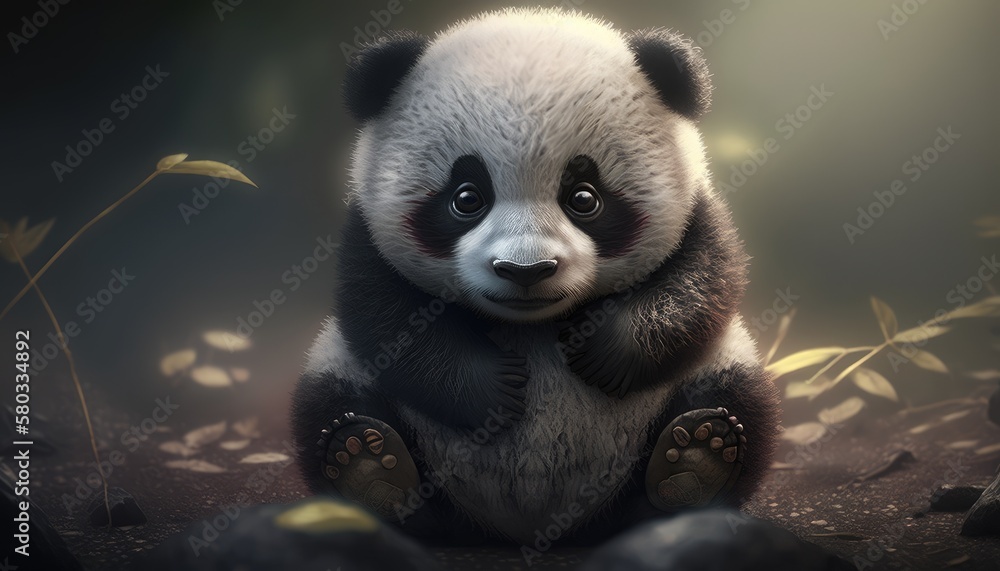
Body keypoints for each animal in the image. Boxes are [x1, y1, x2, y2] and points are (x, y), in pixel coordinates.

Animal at [291, 8, 780, 545]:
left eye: (584, 197)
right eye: (466, 197)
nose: (525, 270)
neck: (533, 325)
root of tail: (527, 526)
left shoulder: (696, 214)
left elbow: (702, 283)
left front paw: (601, 352)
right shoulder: (366, 234)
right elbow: (382, 315)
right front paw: (494, 392)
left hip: (707, 379)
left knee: (736, 392)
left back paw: (694, 463)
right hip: (348, 377)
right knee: (332, 398)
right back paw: (370, 467)